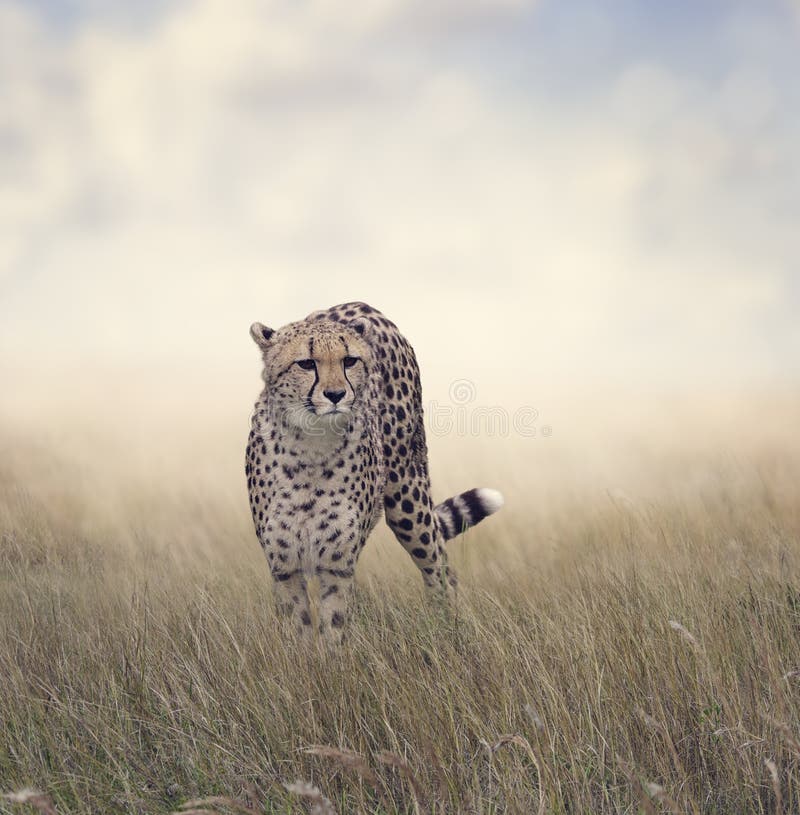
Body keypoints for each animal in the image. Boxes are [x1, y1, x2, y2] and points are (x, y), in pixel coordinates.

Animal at [245, 301, 503, 642]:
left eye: (349, 360)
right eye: (306, 363)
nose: (336, 395)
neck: (311, 446)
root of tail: (362, 306)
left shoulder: (337, 566)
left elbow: (333, 631)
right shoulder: (284, 568)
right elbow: (298, 634)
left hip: (408, 502)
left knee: (439, 565)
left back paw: (447, 628)